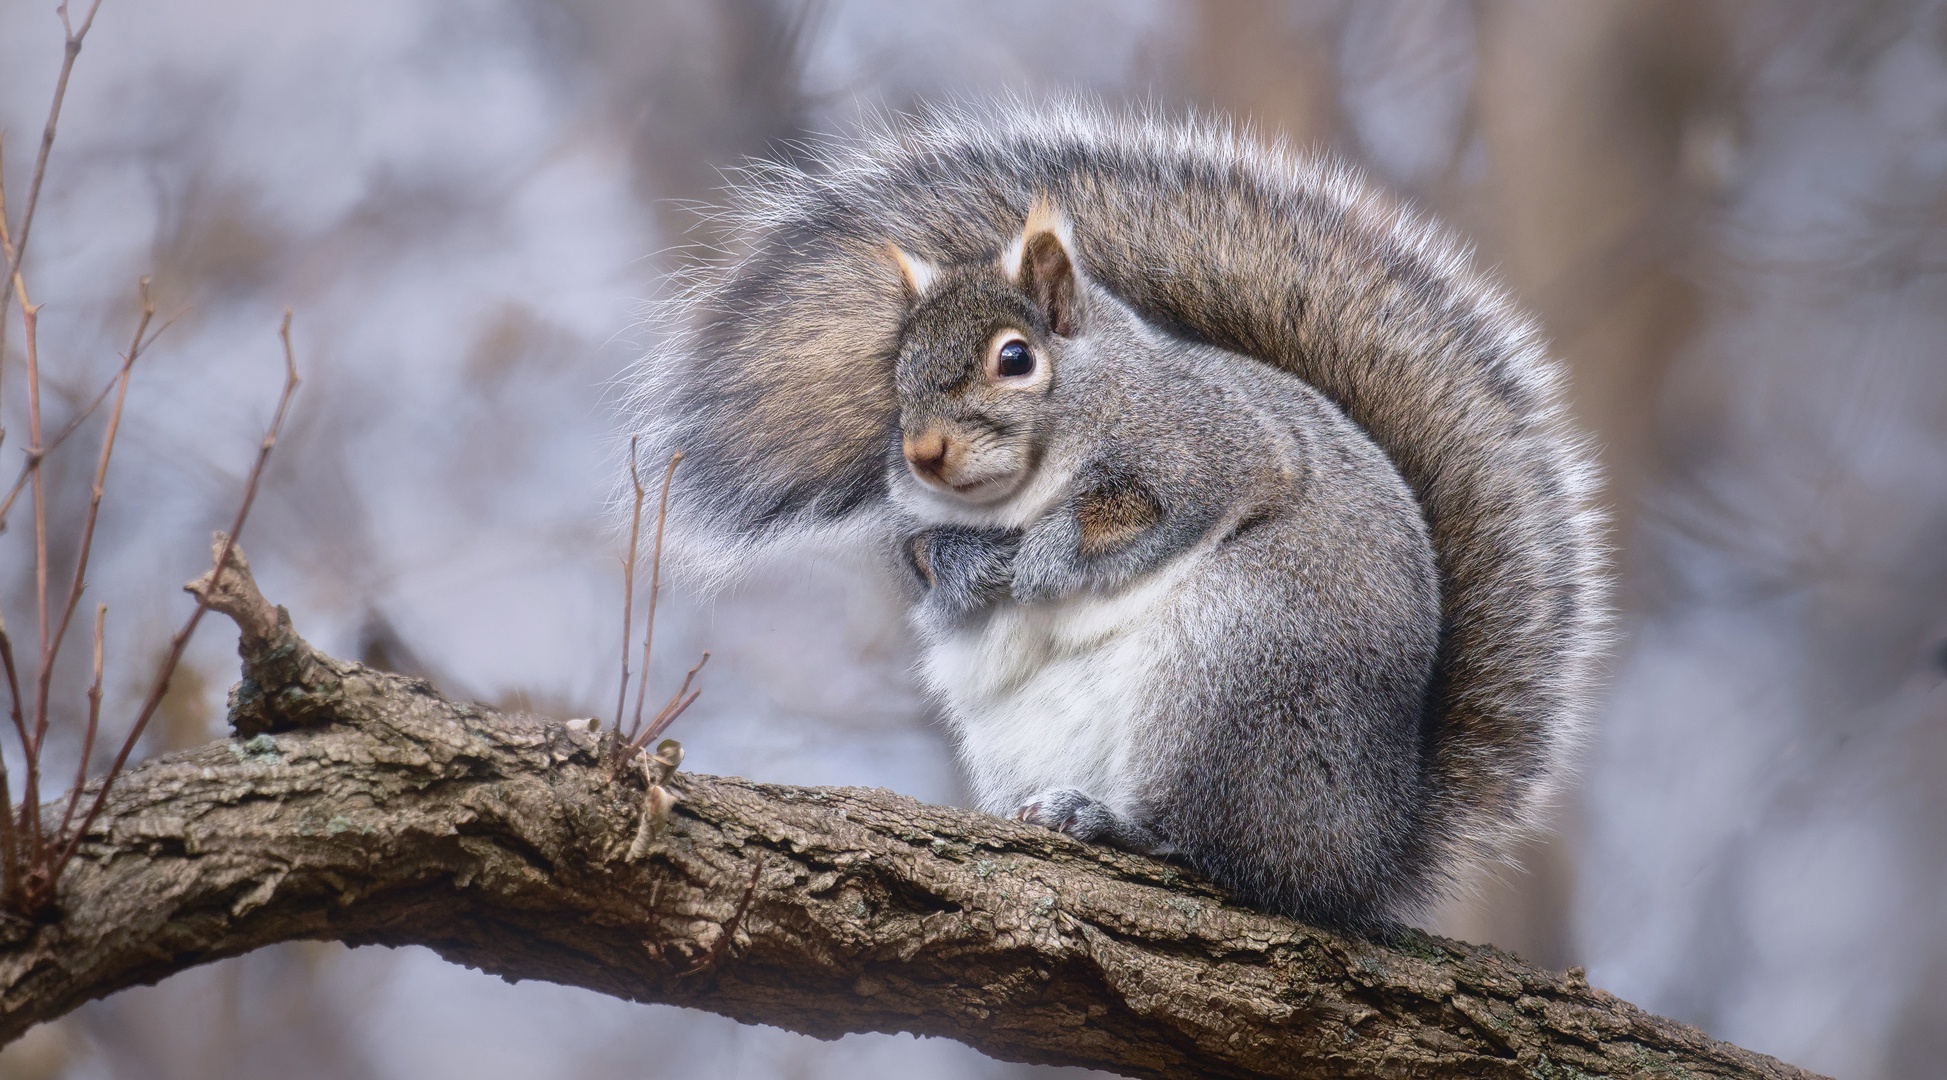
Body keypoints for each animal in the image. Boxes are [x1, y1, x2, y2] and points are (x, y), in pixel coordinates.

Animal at [629, 102, 1606, 930]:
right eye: (894, 372)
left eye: (1014, 358)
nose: (923, 453)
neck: (1021, 486)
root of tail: (1365, 854)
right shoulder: (916, 525)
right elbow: (925, 553)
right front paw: (971, 566)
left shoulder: (1212, 447)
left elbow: (1137, 515)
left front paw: (1041, 559)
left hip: (1239, 665)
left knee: (1218, 851)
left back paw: (1114, 822)